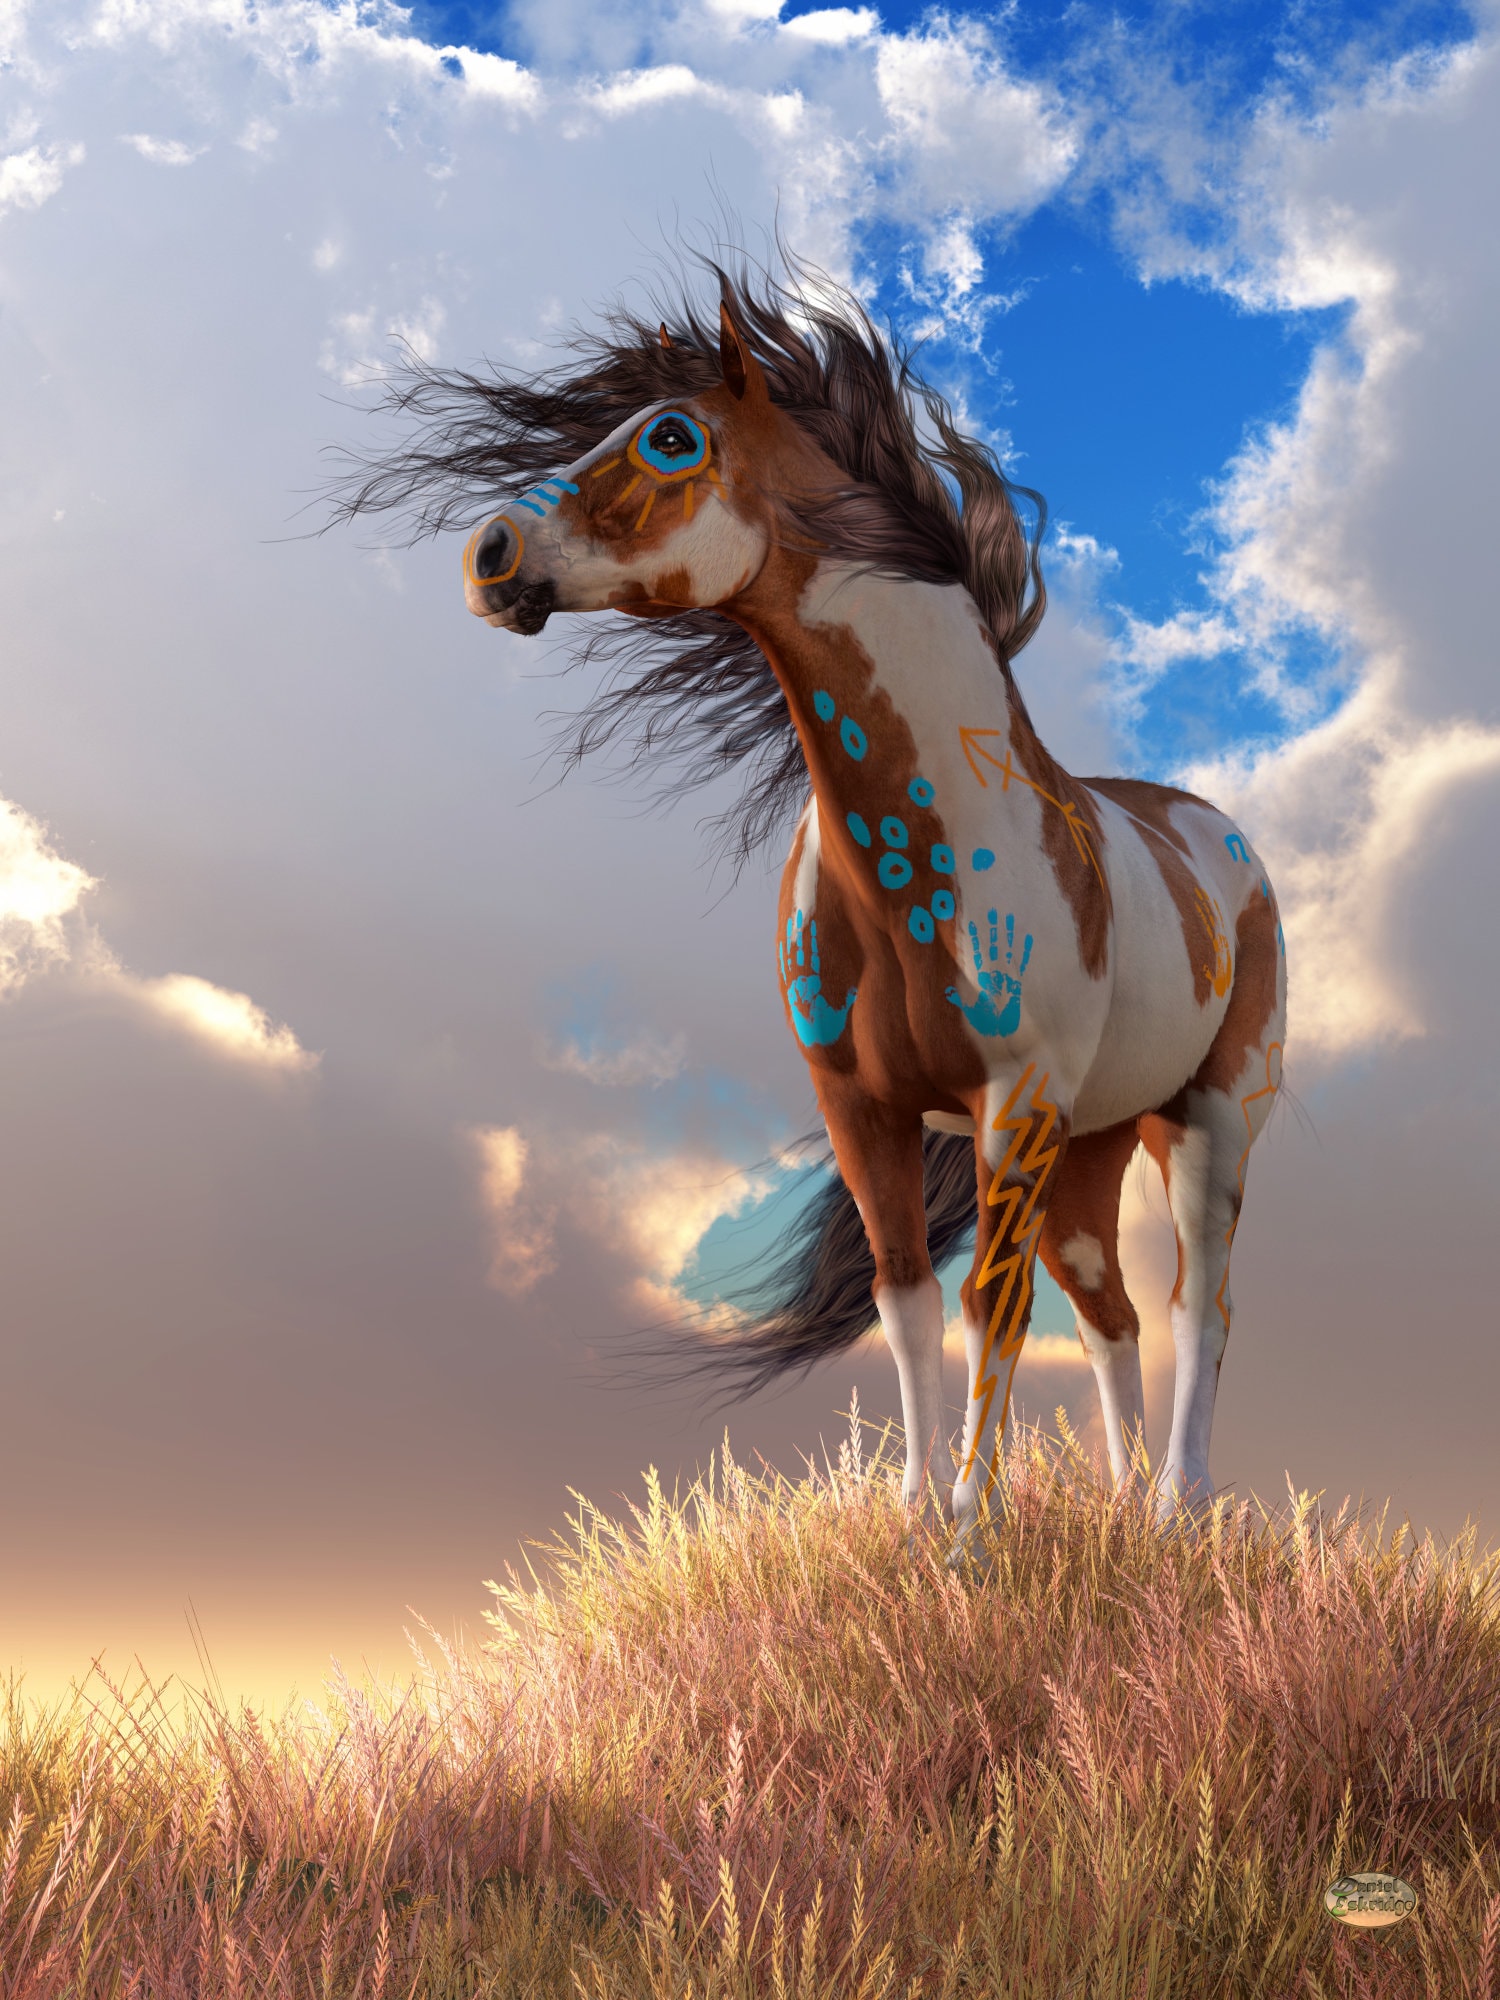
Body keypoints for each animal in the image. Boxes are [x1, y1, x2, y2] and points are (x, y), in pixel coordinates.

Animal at [339, 262, 1286, 1534]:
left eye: (672, 435)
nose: (488, 551)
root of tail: (1219, 836)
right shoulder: (864, 1109)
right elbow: (906, 1300)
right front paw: (920, 1521)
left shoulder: (1016, 1106)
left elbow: (989, 1308)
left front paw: (972, 1539)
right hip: (1091, 1146)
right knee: (1112, 1311)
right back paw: (1126, 1513)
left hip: (1206, 1117)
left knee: (1200, 1301)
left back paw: (1181, 1509)